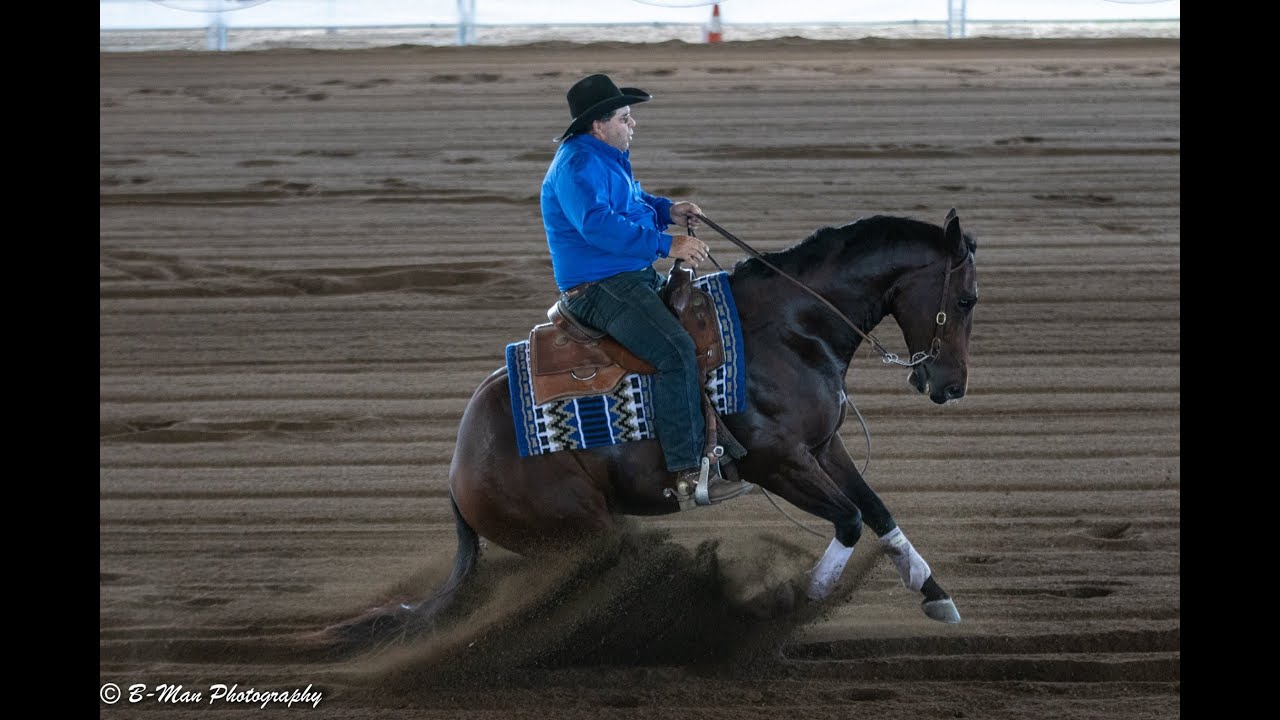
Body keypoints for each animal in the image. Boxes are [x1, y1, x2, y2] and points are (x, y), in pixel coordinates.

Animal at [327, 207, 978, 649]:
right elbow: (847, 520)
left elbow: (878, 511)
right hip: (584, 535)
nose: (950, 387)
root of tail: (458, 469)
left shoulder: (824, 446)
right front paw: (805, 600)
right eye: (968, 299)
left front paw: (936, 594)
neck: (791, 328)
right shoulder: (778, 461)